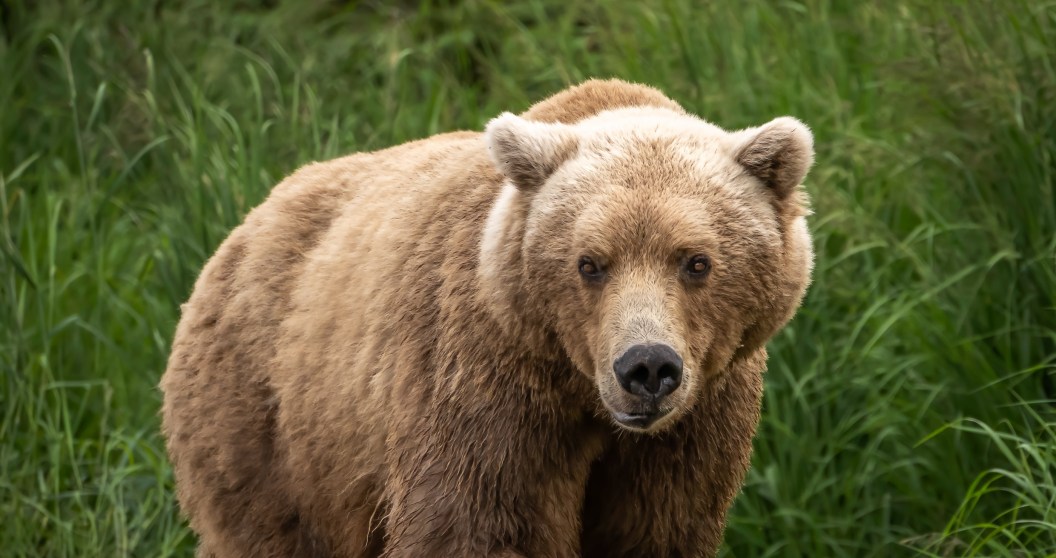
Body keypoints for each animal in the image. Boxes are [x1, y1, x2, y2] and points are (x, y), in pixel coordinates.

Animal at [160, 78, 815, 558]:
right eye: (589, 263)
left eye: (696, 261)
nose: (647, 366)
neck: (581, 392)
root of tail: (247, 224)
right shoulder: (484, 385)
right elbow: (476, 524)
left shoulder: (696, 424)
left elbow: (657, 529)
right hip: (269, 431)